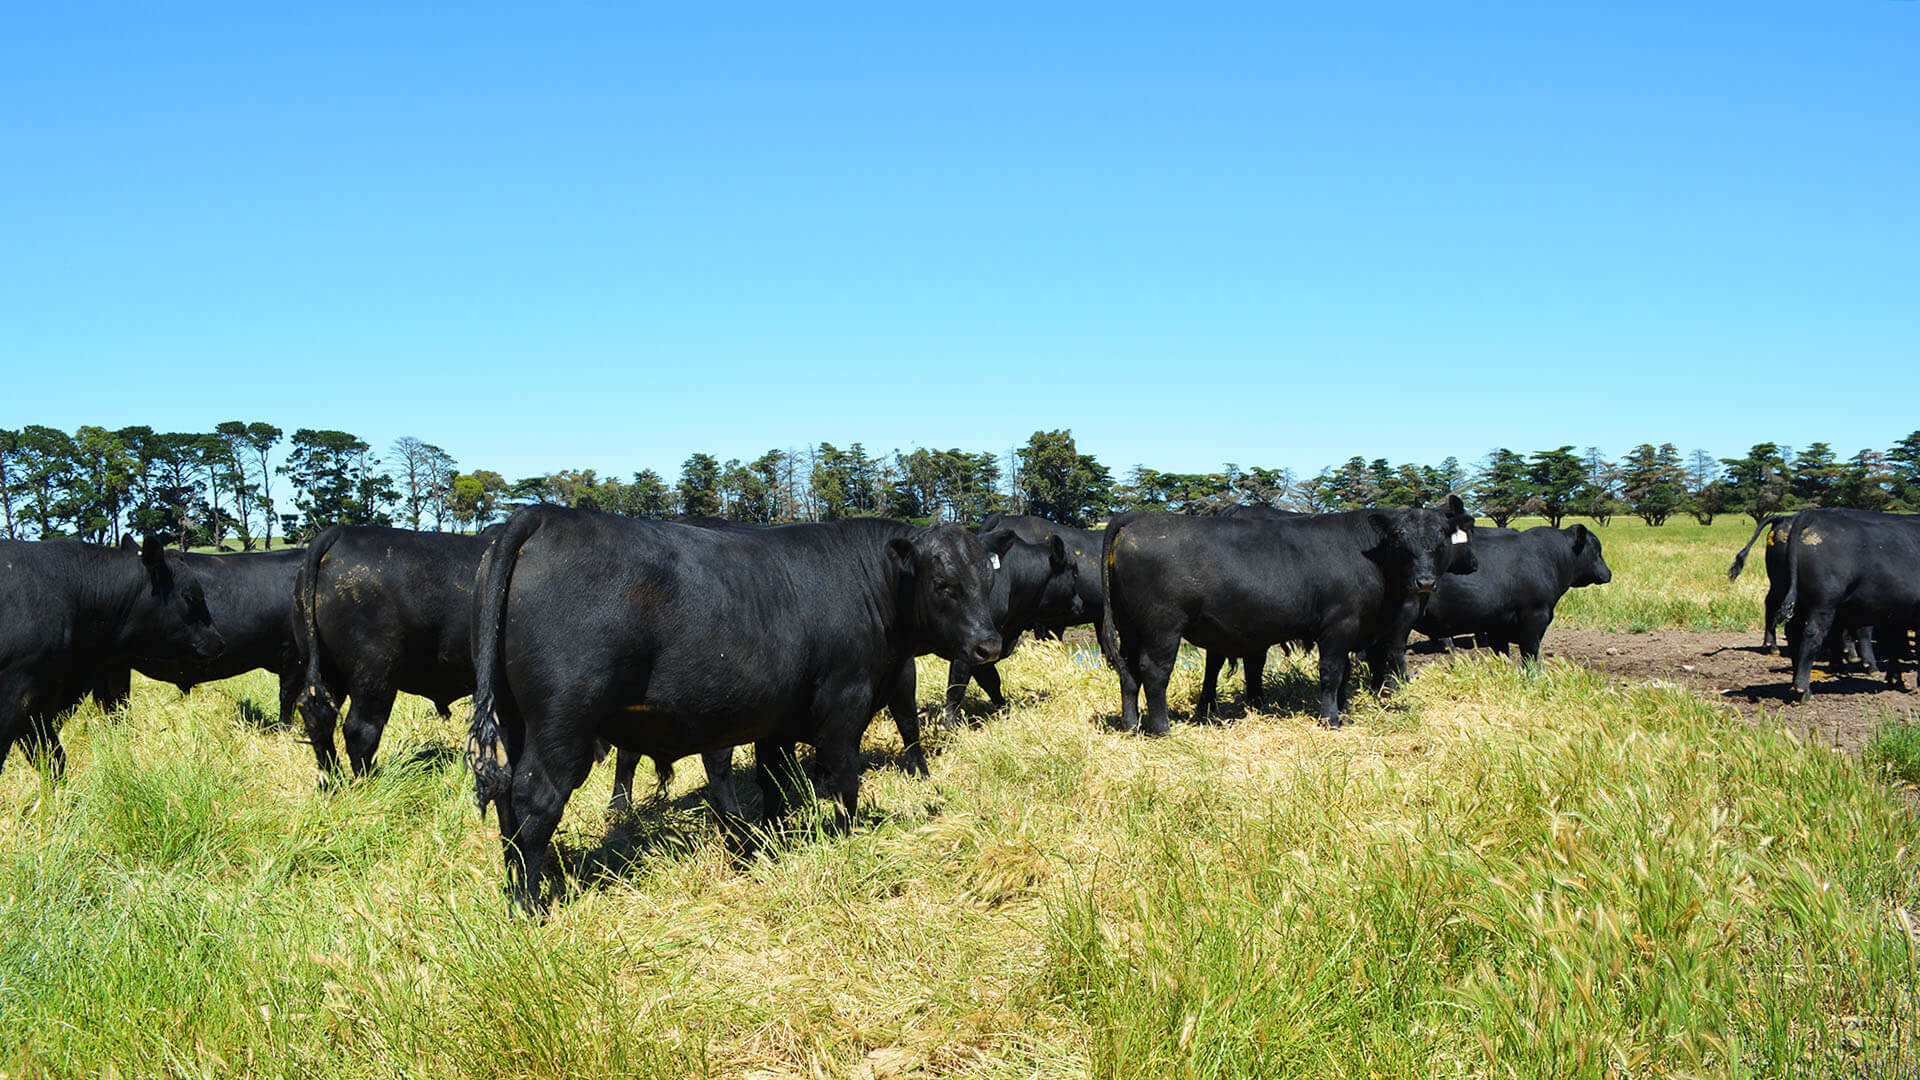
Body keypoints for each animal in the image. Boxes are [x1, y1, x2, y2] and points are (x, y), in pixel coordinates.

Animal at [292, 524, 499, 776]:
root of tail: (340, 531)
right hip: (374, 670)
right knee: (360, 727)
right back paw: (369, 779)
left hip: (327, 668)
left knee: (320, 716)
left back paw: (332, 777)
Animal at [464, 506, 1016, 911]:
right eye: (943, 584)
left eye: (988, 582)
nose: (988, 645)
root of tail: (544, 514)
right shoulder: (843, 702)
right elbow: (844, 777)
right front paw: (845, 837)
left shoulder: (778, 718)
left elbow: (773, 781)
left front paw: (770, 842)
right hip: (563, 724)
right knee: (536, 799)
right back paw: (529, 904)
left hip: (515, 720)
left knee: (507, 800)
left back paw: (516, 884)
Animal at [1098, 497, 1477, 733]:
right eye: (1399, 537)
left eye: (1441, 538)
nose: (1425, 581)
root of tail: (1138, 517)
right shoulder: (1339, 624)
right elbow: (1332, 672)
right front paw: (1331, 719)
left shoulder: (1355, 629)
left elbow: (1346, 671)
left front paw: (1344, 710)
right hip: (1162, 628)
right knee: (1154, 671)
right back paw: (1162, 728)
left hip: (1129, 627)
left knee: (1128, 672)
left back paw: (1131, 725)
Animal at [1414, 524, 1611, 664]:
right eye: (1596, 549)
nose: (1608, 573)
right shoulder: (1535, 616)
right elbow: (1530, 654)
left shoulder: (1497, 624)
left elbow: (1502, 655)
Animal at [1777, 509, 1920, 702]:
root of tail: (1811, 514)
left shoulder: (1894, 615)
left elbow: (1893, 646)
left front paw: (1895, 680)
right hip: (1823, 604)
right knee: (1811, 635)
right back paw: (1802, 689)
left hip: (1795, 600)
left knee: (1793, 633)